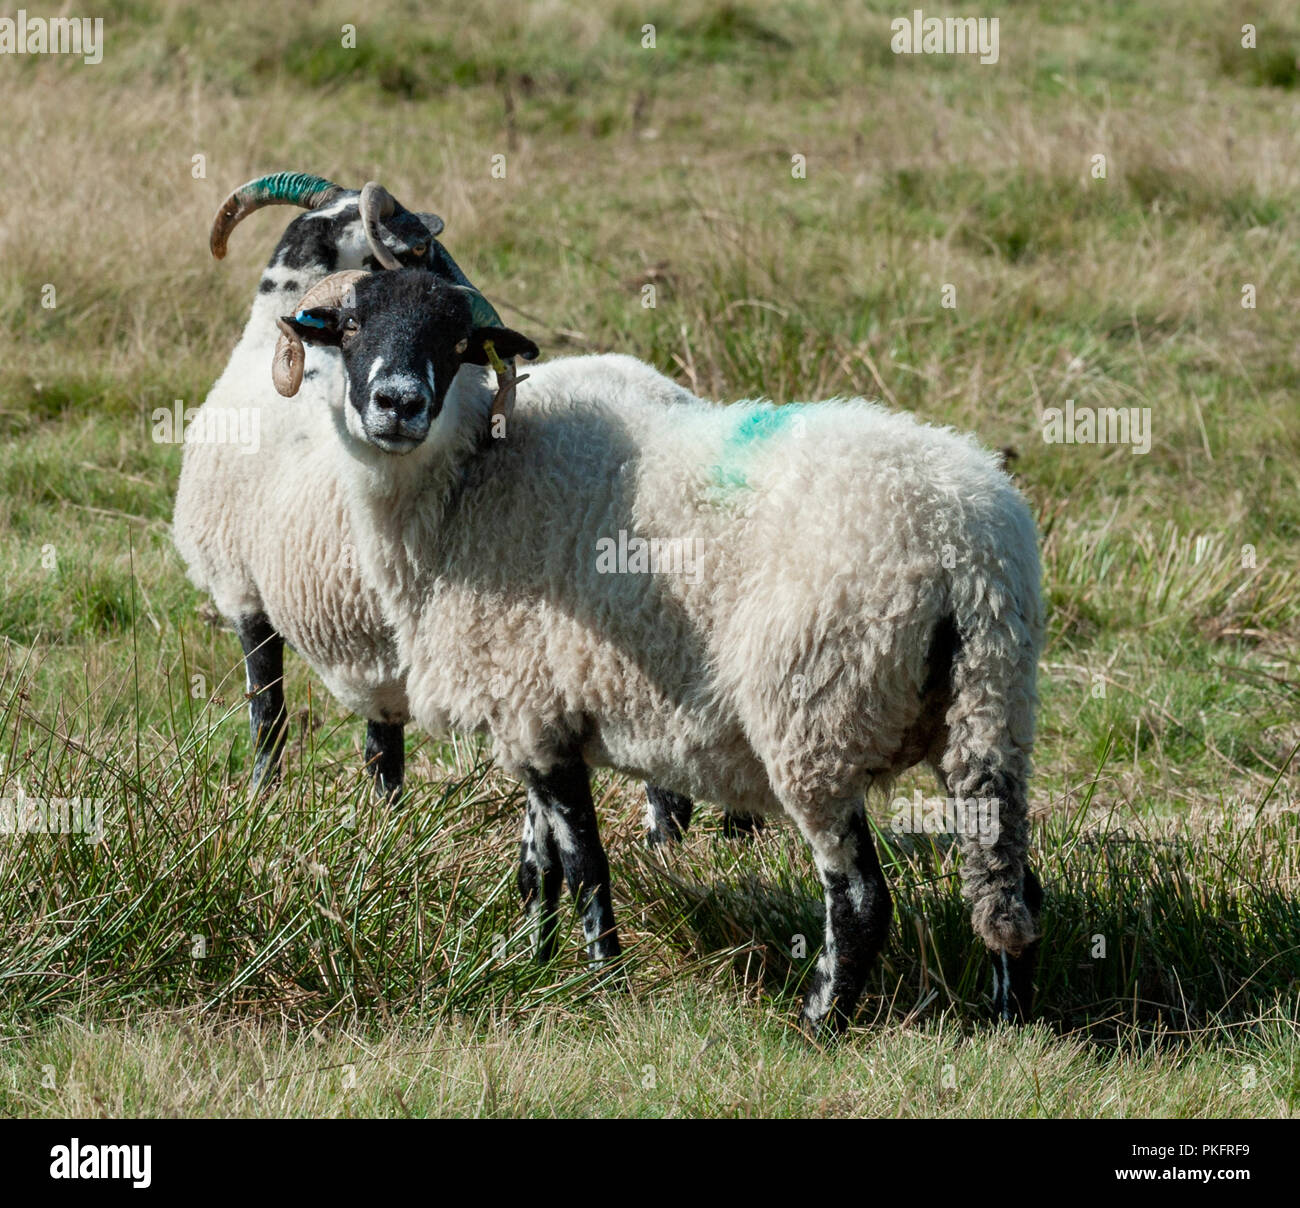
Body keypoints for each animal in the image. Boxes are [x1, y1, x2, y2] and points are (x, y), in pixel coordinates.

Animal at [174, 172, 727, 843]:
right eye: (417, 249)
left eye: (458, 336)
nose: (399, 403)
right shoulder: (282, 604)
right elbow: (337, 733)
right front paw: (375, 825)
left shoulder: (266, 596)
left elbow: (275, 716)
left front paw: (269, 801)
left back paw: (662, 838)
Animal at [272, 266, 1046, 1035]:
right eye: (349, 326)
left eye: (458, 341)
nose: (398, 404)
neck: (471, 479)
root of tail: (968, 545)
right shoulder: (536, 707)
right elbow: (537, 866)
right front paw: (532, 966)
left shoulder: (533, 712)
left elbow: (584, 865)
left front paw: (603, 981)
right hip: (987, 713)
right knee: (1011, 881)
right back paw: (1009, 1020)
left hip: (817, 719)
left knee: (860, 900)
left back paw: (814, 1024)